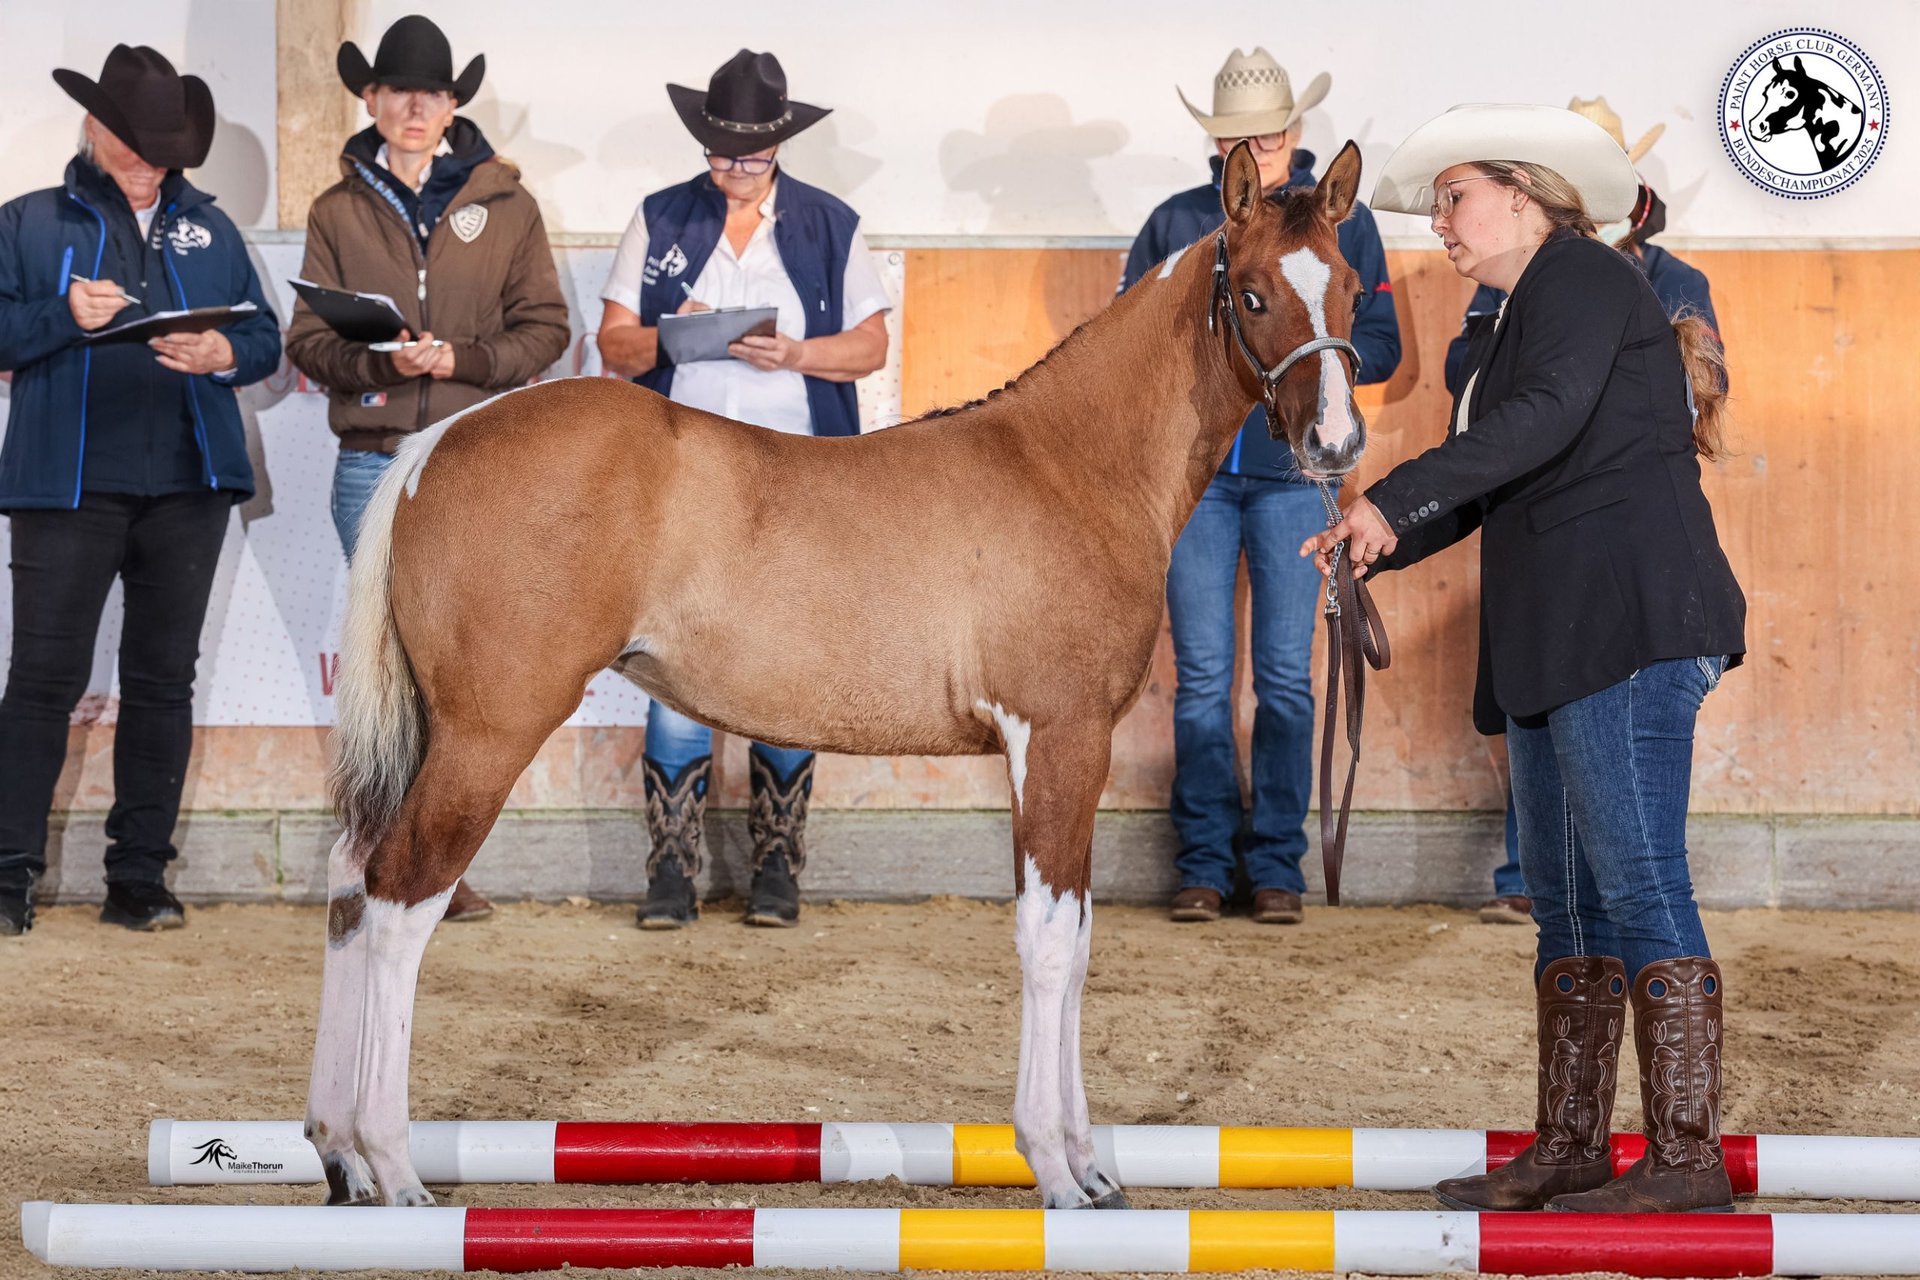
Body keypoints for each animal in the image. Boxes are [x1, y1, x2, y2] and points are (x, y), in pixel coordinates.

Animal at [305, 140, 1369, 1210]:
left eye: (1354, 288)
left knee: (352, 884)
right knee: (400, 900)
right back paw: (394, 1168)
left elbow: (1076, 938)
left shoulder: (1067, 751)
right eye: (1256, 294)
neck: (1067, 464)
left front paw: (1091, 1167)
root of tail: (433, 446)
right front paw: (1058, 1173)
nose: (1335, 444)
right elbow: (1048, 942)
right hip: (487, 734)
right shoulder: (1058, 737)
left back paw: (338, 1153)